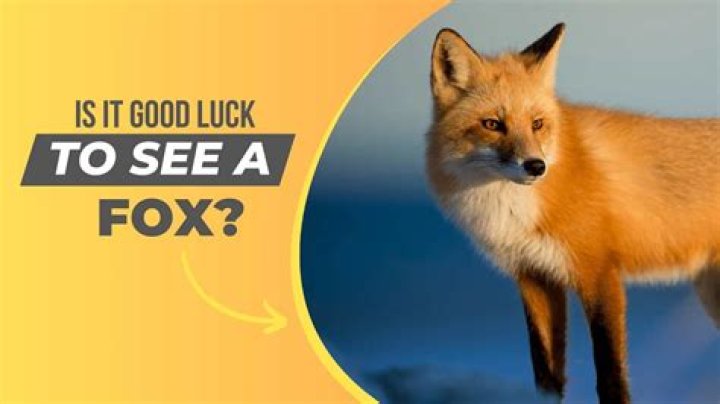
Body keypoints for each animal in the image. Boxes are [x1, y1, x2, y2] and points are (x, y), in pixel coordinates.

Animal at [426, 23, 719, 404]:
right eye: (492, 124)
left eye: (537, 124)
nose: (536, 166)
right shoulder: (535, 277)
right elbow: (546, 374)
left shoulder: (599, 272)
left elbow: (610, 375)